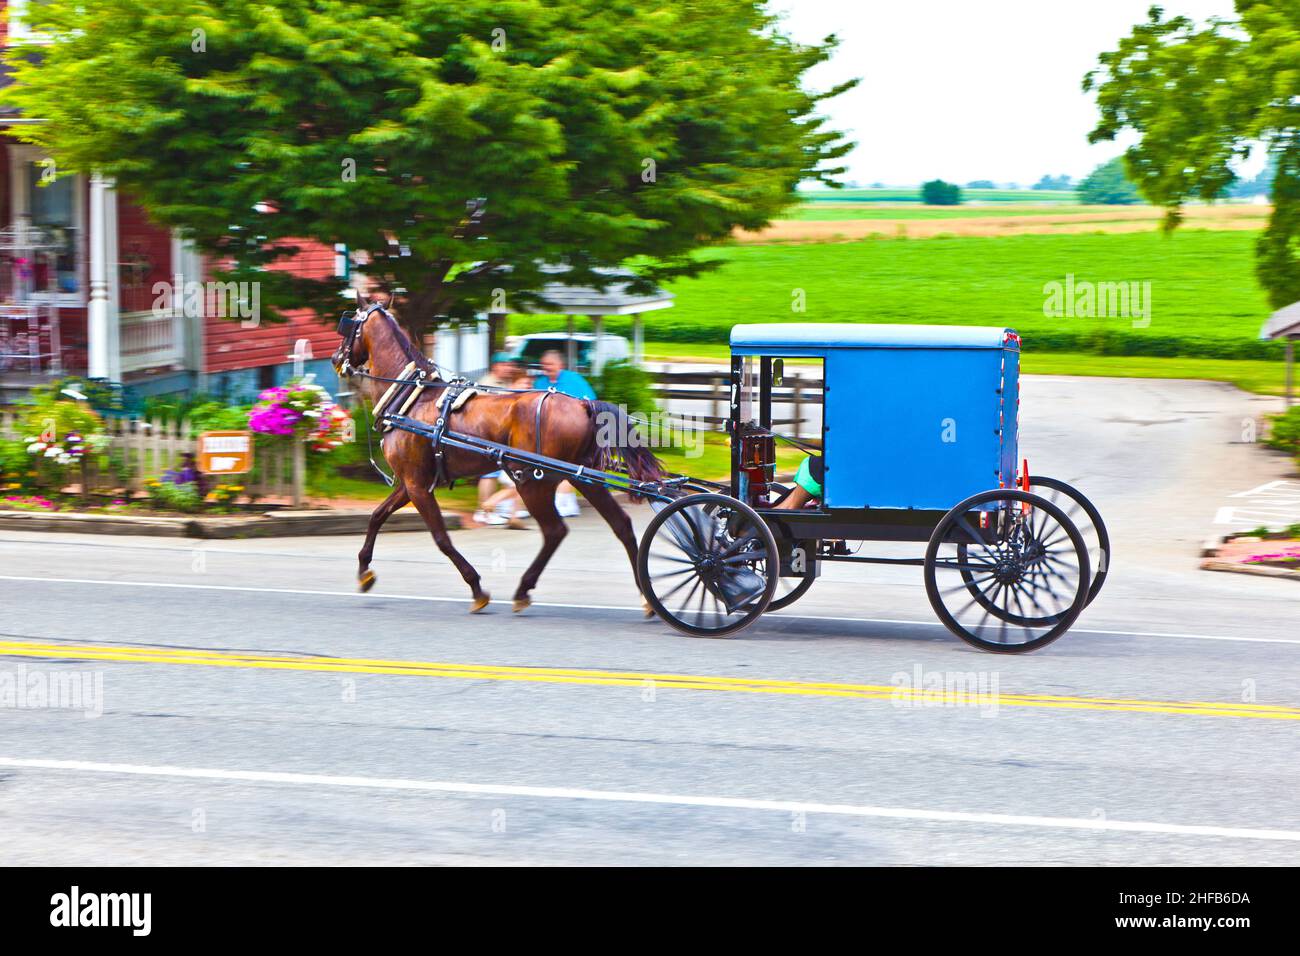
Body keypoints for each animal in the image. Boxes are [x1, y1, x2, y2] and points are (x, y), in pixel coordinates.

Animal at [331, 303, 662, 613]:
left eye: (348, 324)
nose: (336, 359)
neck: (411, 399)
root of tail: (584, 405)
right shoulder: (410, 483)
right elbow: (377, 516)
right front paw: (364, 571)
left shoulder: (417, 486)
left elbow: (441, 538)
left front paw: (476, 588)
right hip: (584, 478)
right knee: (620, 525)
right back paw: (645, 597)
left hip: (532, 481)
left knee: (555, 531)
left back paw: (524, 589)